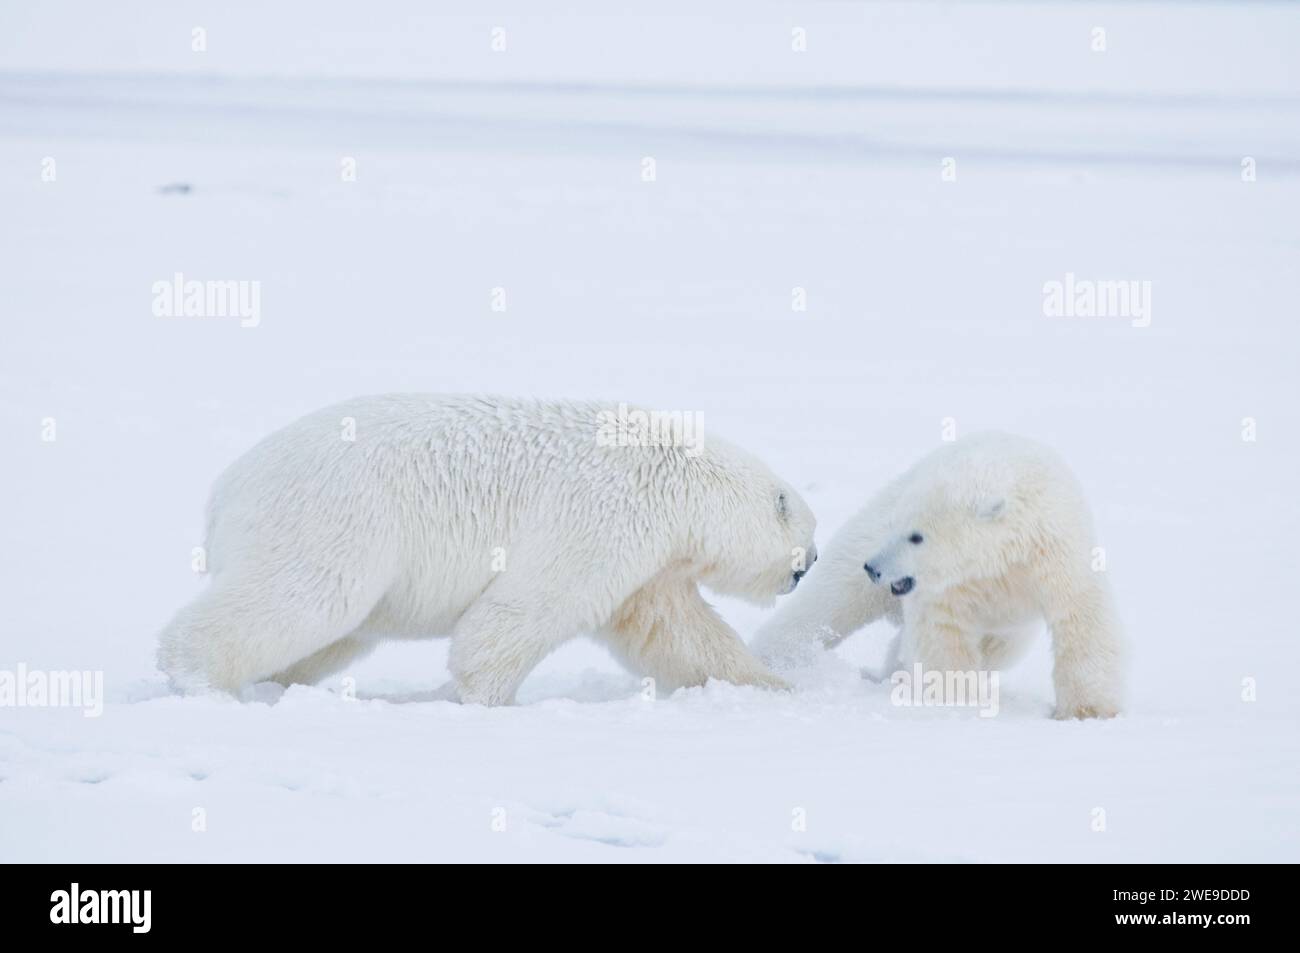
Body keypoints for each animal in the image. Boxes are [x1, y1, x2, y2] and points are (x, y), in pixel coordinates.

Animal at [157, 394, 817, 705]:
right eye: (804, 544)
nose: (807, 569)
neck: (677, 470)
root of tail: (224, 490)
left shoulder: (651, 563)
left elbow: (672, 629)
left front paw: (771, 685)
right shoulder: (607, 511)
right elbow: (532, 603)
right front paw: (485, 697)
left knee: (331, 631)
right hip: (333, 517)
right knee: (306, 596)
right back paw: (197, 675)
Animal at [752, 432, 1123, 719]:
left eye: (916, 536)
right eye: (898, 525)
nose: (874, 568)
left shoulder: (1054, 557)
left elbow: (1081, 620)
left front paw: (1088, 711)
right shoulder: (947, 588)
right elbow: (943, 635)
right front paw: (955, 702)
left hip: (1011, 621)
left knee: (999, 646)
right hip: (868, 532)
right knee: (830, 602)